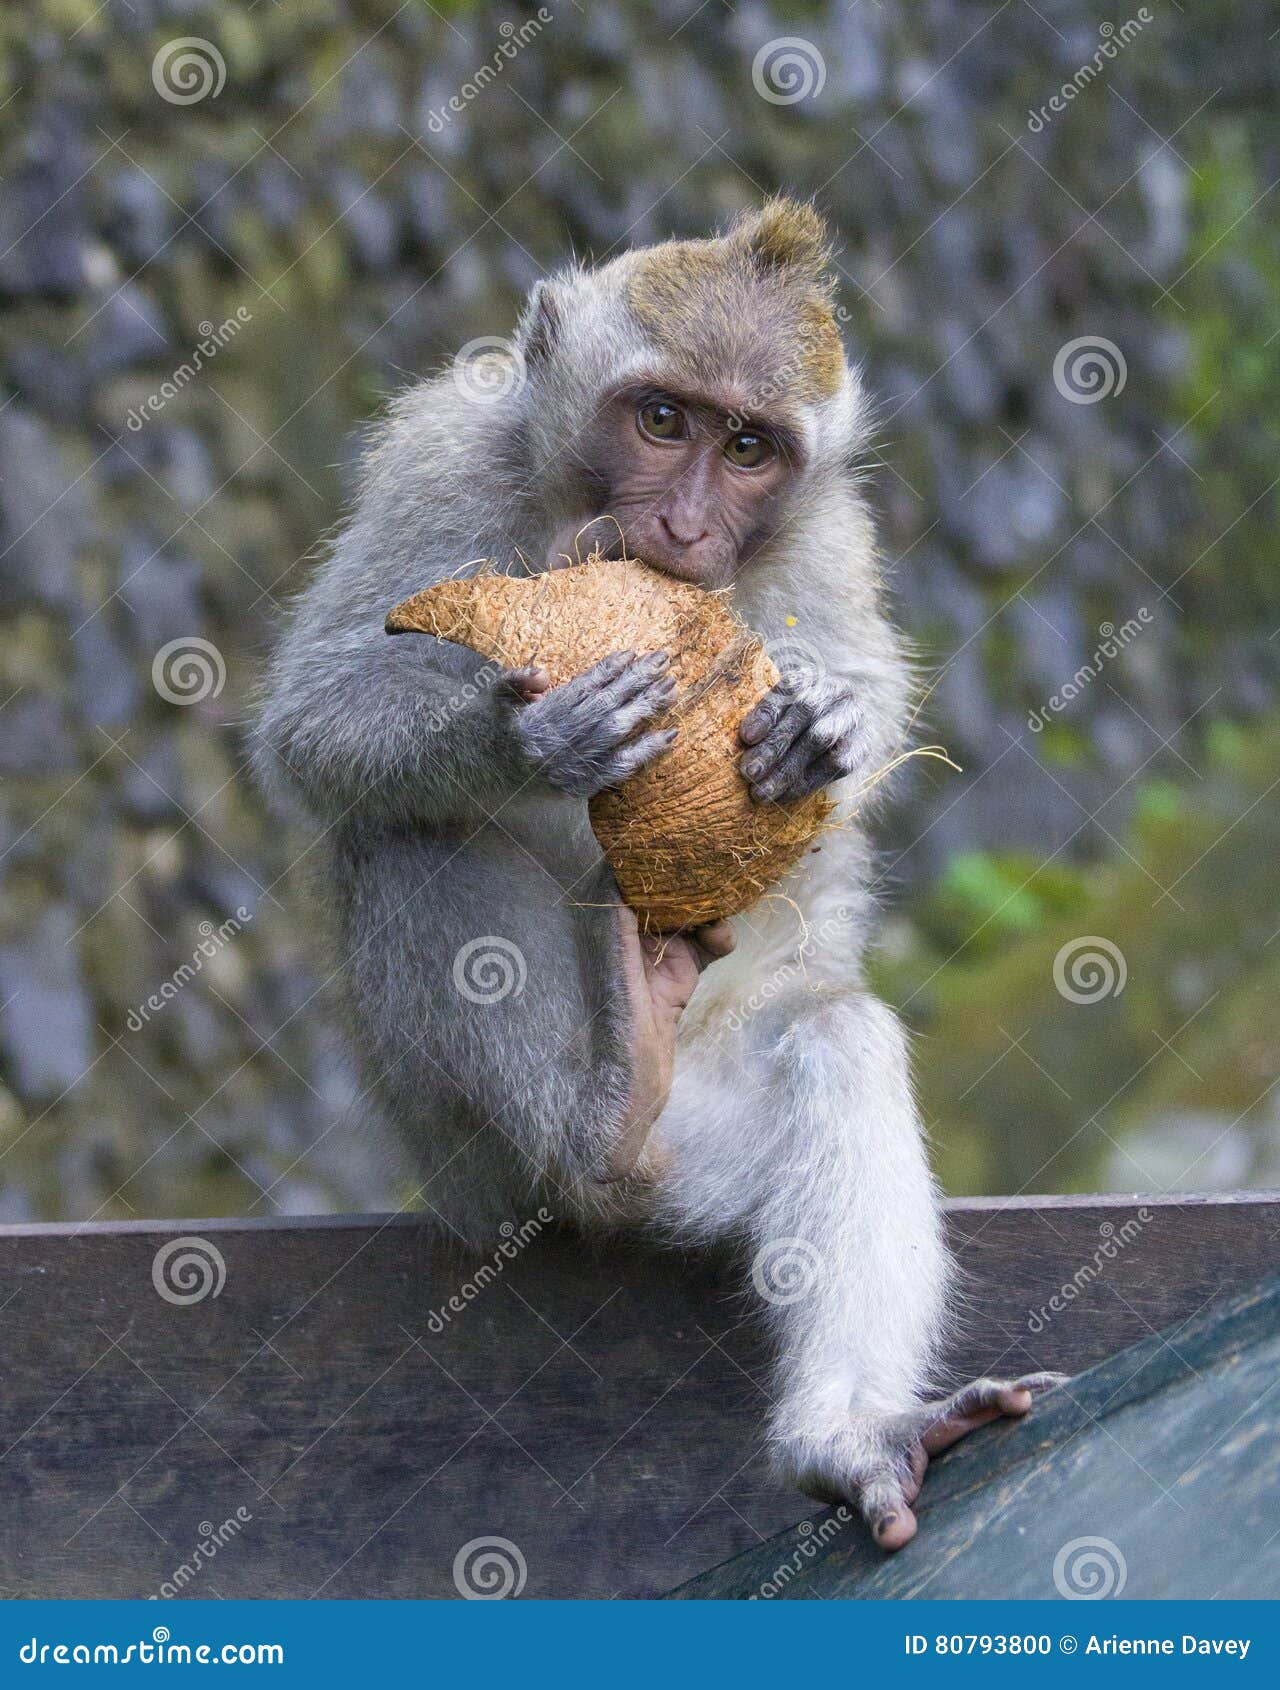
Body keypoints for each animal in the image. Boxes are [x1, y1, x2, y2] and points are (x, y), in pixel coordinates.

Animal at [254, 200, 1063, 1551]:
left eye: (746, 447)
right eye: (662, 421)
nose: (683, 528)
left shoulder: (826, 532)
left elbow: (861, 703)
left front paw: (827, 732)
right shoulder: (442, 458)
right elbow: (312, 726)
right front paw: (528, 737)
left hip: (723, 1148)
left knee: (834, 1041)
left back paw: (848, 1428)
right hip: (481, 1178)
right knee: (409, 843)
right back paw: (602, 1122)